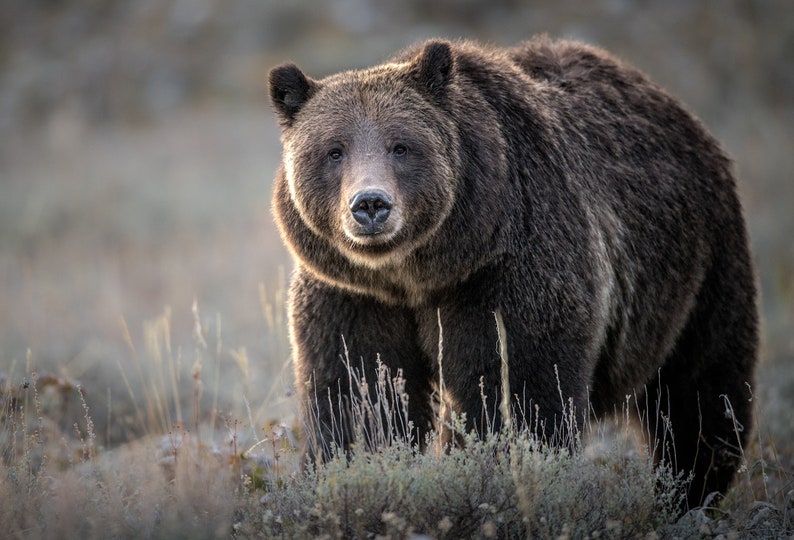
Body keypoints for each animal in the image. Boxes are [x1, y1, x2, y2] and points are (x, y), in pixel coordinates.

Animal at [268, 37, 758, 510]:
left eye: (401, 145)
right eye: (334, 150)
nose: (370, 204)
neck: (417, 272)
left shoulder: (506, 272)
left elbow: (514, 389)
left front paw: (505, 473)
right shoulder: (353, 293)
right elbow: (362, 395)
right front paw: (354, 469)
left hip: (699, 268)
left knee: (701, 391)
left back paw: (692, 492)